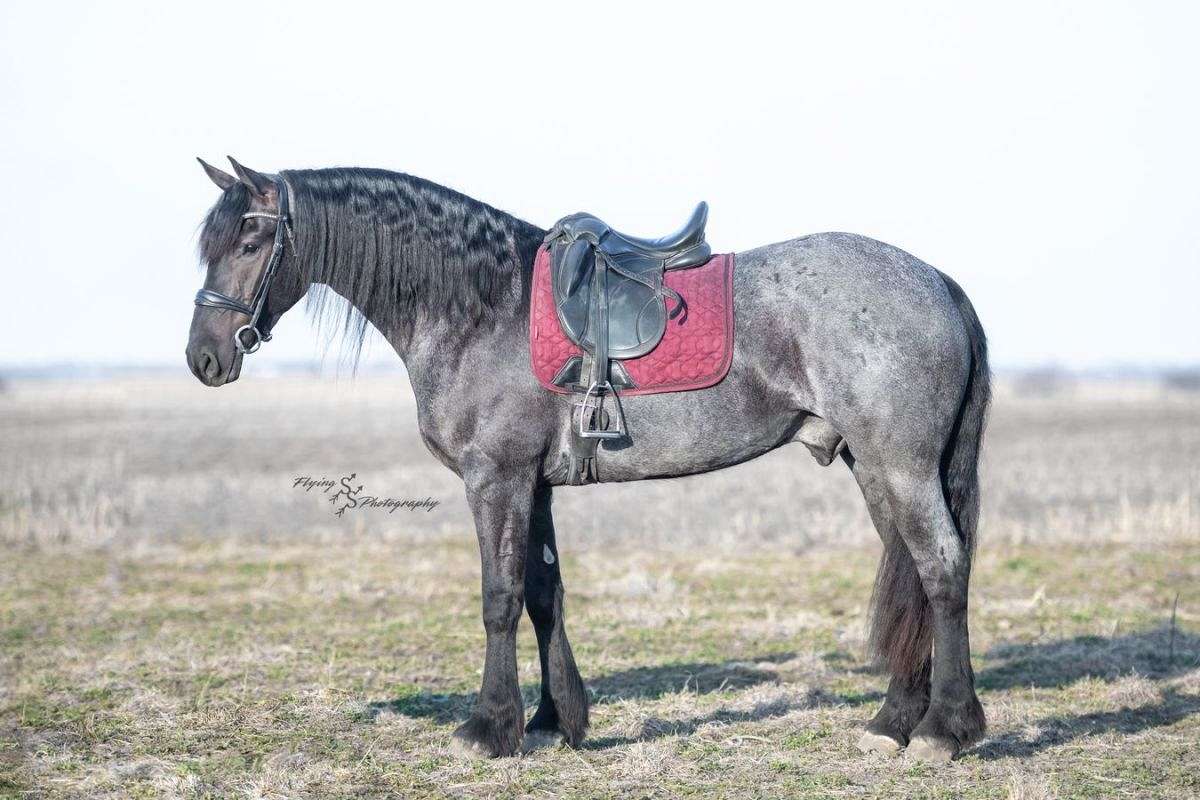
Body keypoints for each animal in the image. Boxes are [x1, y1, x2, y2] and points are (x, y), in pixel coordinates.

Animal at [185, 157, 990, 762]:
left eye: (251, 242)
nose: (204, 359)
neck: (484, 309)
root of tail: (937, 282)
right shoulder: (534, 486)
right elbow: (544, 594)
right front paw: (555, 721)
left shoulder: (497, 479)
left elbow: (500, 598)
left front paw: (489, 729)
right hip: (873, 466)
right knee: (911, 572)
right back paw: (892, 722)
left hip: (901, 464)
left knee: (942, 567)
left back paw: (945, 730)